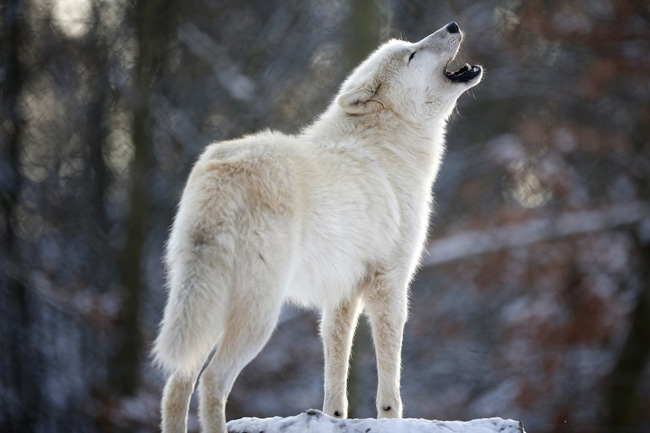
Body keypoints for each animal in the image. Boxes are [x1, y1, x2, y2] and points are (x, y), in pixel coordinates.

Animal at [154, 21, 482, 433]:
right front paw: (391, 418)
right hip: (259, 315)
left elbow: (335, 367)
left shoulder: (342, 294)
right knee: (211, 381)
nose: (453, 25)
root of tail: (223, 171)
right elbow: (390, 374)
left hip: (207, 307)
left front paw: (333, 417)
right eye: (412, 54)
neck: (388, 147)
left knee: (176, 384)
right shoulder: (389, 284)